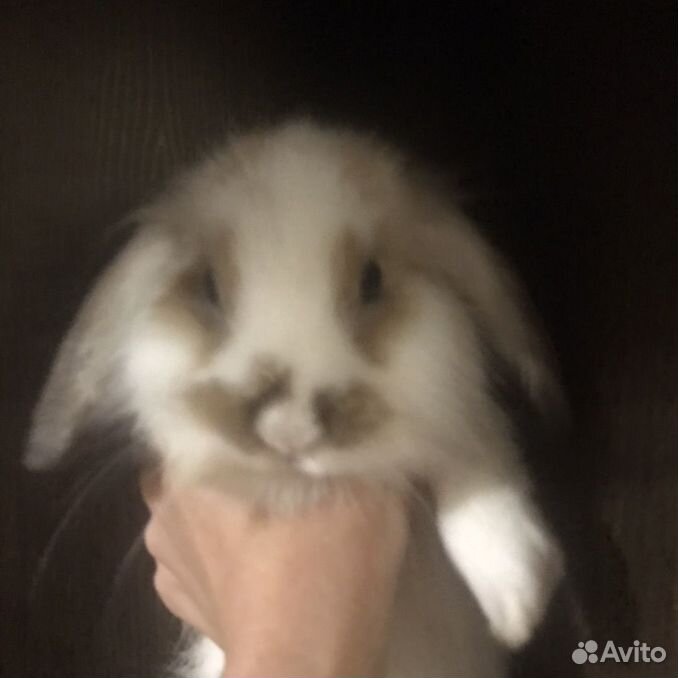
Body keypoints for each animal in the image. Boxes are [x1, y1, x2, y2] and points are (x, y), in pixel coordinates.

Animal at [26, 120, 565, 677]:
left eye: (372, 280)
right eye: (209, 287)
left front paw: (518, 593)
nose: (287, 429)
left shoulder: (449, 402)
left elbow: (472, 449)